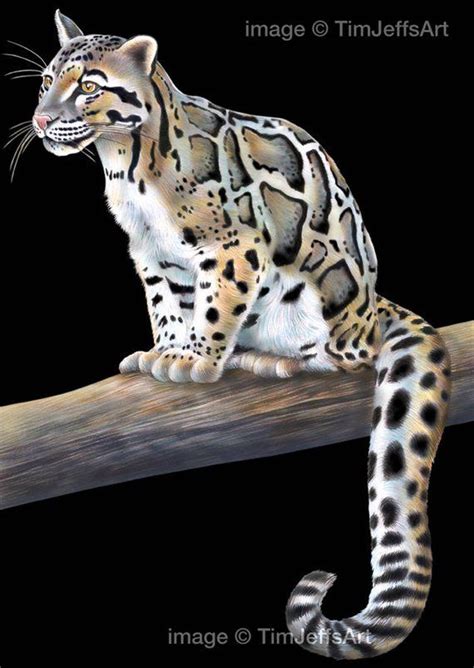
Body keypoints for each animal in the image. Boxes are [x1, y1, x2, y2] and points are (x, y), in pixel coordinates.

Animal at [25, 11, 451, 659]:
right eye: (47, 81)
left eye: (90, 87)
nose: (43, 119)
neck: (125, 165)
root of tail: (373, 303)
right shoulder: (150, 254)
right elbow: (166, 304)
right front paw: (168, 348)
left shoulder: (233, 246)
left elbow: (215, 303)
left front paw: (197, 358)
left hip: (324, 306)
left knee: (342, 356)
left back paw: (270, 360)